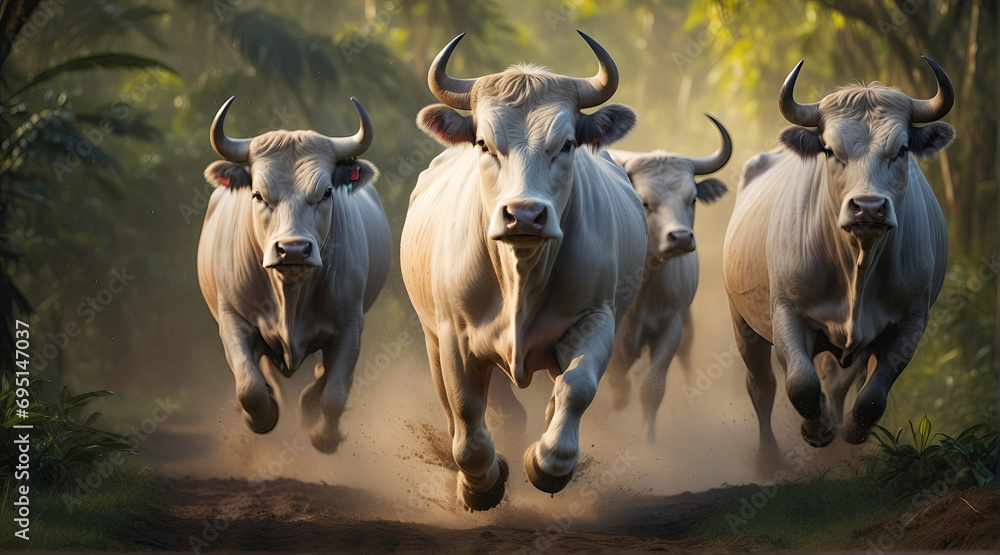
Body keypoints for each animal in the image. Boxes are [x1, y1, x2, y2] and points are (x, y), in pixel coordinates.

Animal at [198, 96, 391, 454]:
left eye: (326, 192)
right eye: (258, 194)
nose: (294, 250)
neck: (290, 293)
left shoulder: (349, 326)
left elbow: (334, 393)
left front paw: (323, 434)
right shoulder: (233, 320)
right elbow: (249, 387)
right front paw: (262, 417)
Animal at [400, 32, 646, 511]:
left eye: (566, 144)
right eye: (483, 143)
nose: (525, 215)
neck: (520, 274)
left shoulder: (597, 319)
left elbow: (577, 388)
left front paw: (547, 463)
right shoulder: (453, 334)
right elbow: (466, 412)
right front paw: (480, 485)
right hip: (431, 336)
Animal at [605, 114, 732, 442]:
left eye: (693, 199)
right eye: (645, 201)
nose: (681, 237)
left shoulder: (670, 325)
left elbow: (652, 388)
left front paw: (648, 443)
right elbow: (616, 382)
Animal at [723, 58, 954, 466]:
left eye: (902, 149)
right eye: (830, 150)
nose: (868, 207)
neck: (855, 264)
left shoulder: (911, 322)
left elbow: (872, 397)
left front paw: (852, 432)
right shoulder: (785, 311)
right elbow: (800, 383)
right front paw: (815, 431)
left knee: (838, 381)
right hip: (743, 324)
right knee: (762, 386)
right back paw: (769, 457)